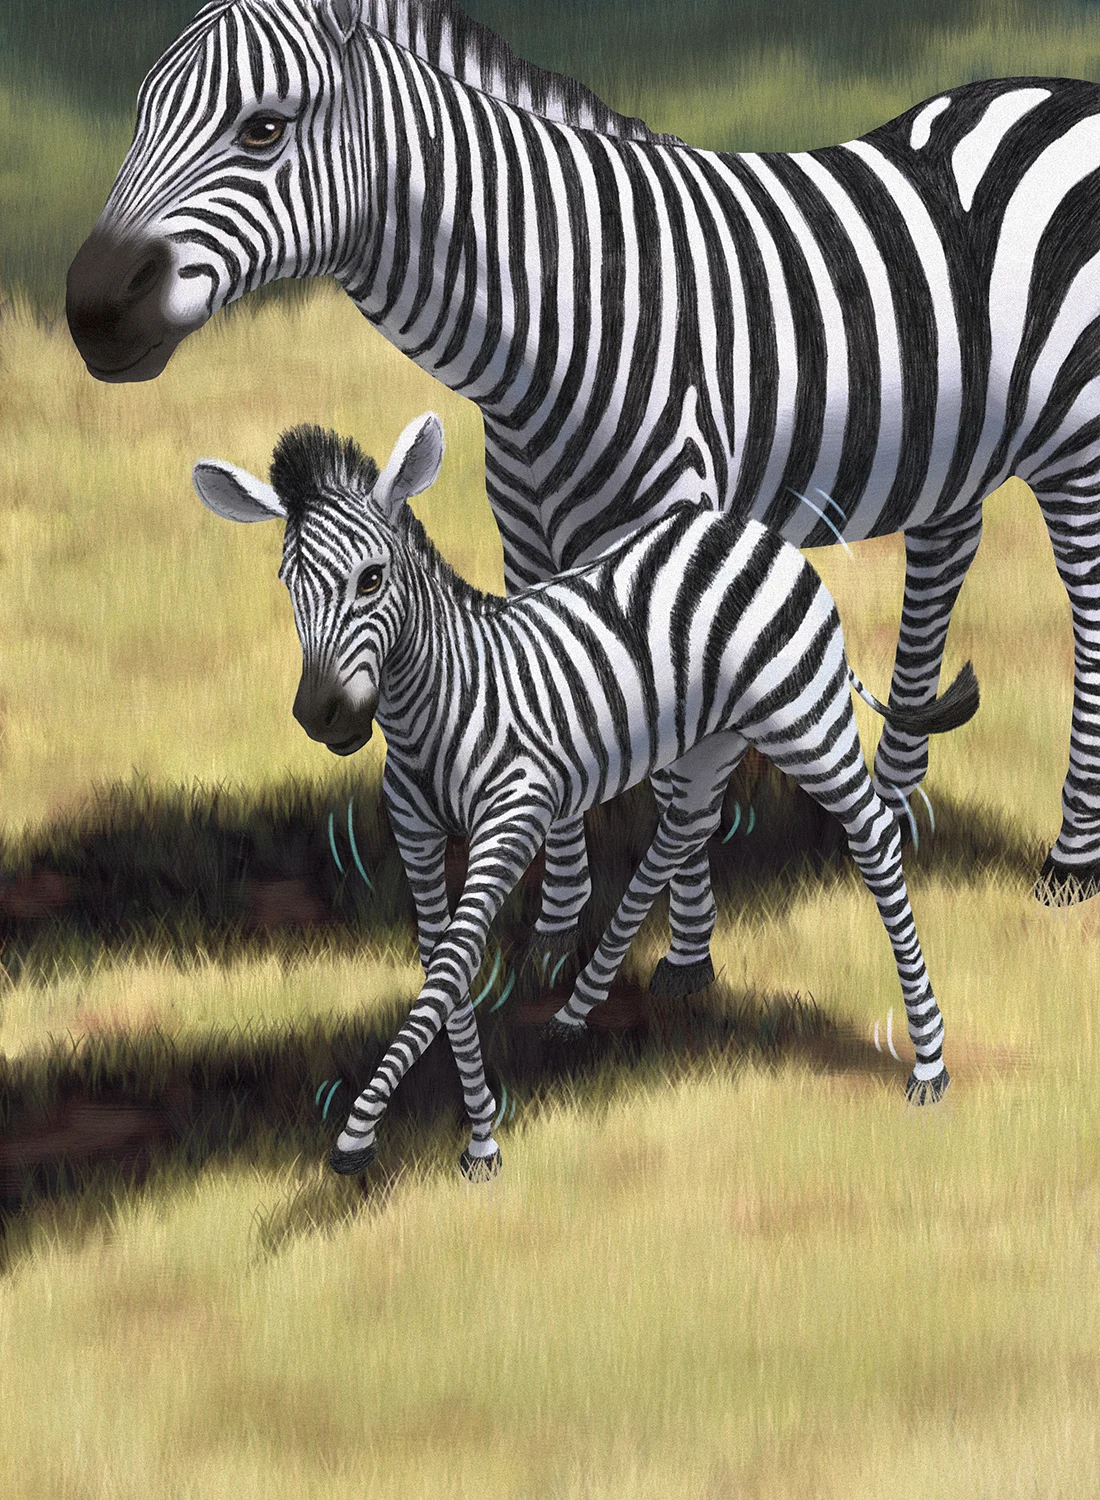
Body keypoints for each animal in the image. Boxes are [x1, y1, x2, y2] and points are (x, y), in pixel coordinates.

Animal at [65, 1, 1100, 993]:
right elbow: (557, 688)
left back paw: (1068, 865)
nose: (89, 309)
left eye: (263, 129)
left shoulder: (675, 533)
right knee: (945, 553)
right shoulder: (528, 536)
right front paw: (556, 933)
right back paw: (893, 807)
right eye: (138, 117)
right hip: (950, 434)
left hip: (1078, 445)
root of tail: (1068, 90)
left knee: (1085, 620)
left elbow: (677, 756)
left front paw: (682, 960)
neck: (561, 312)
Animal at [191, 411, 979, 1174]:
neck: (436, 708)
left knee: (871, 833)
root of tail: (752, 530)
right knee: (682, 829)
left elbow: (452, 966)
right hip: (712, 736)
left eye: (370, 579)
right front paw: (478, 1131)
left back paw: (928, 1059)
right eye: (289, 585)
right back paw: (578, 1009)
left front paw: (378, 1135)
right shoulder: (414, 831)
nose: (322, 717)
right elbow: (441, 967)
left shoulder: (513, 818)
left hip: (803, 715)